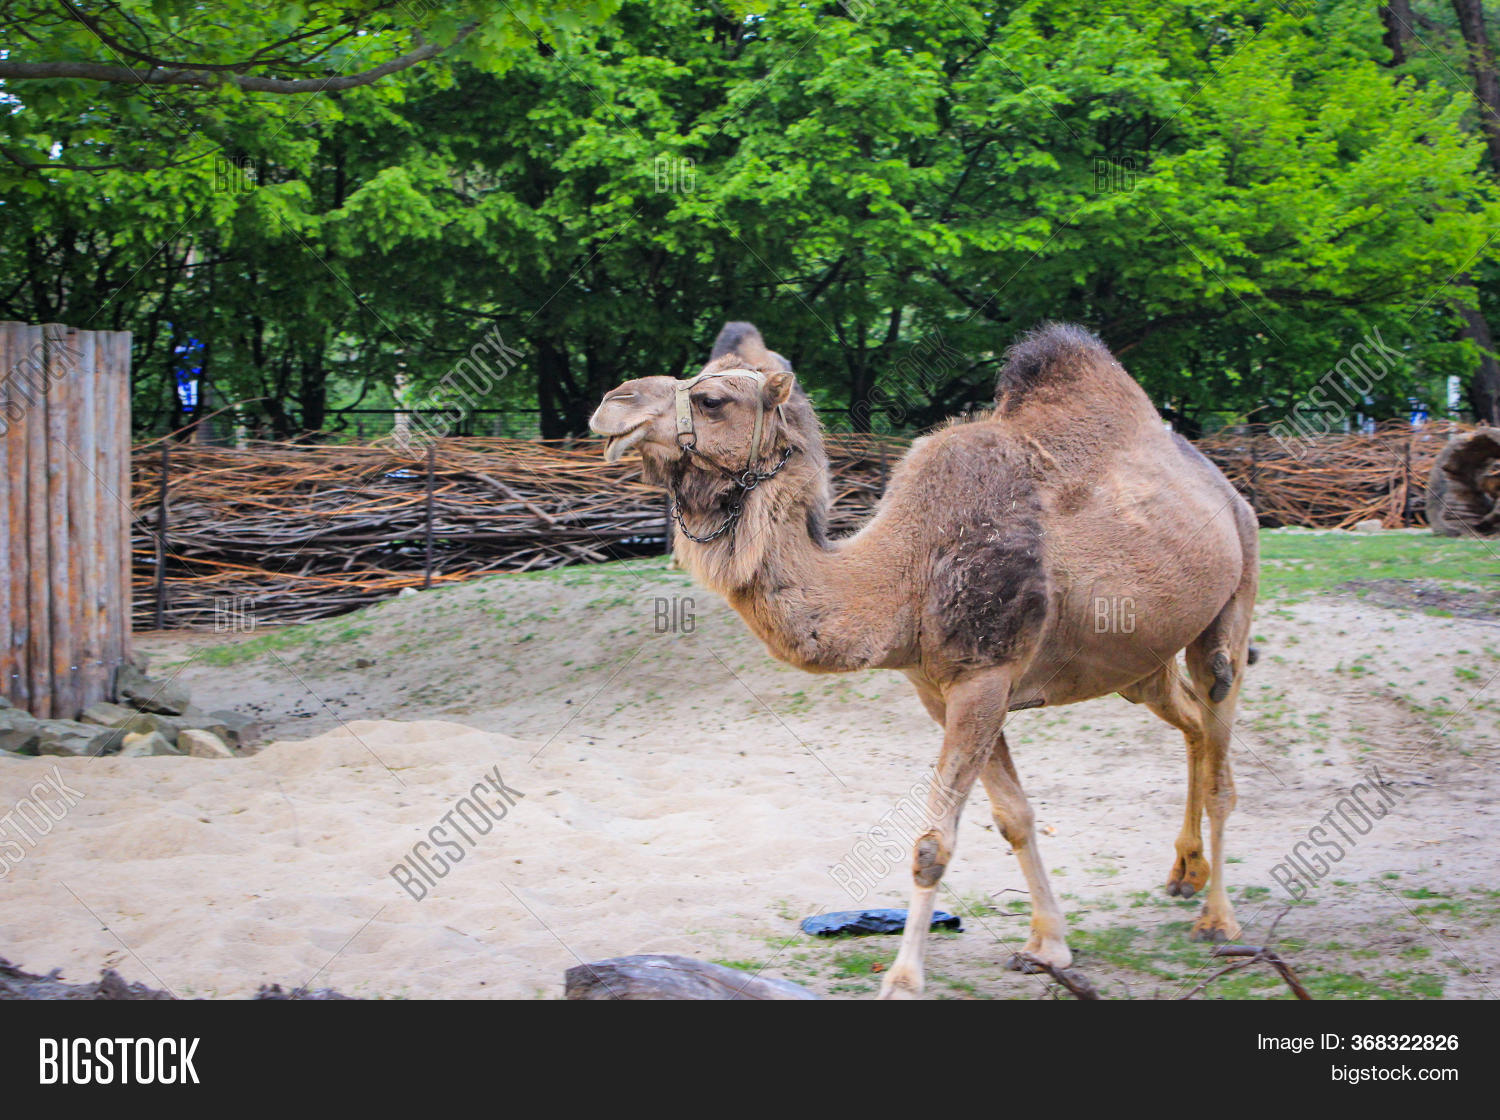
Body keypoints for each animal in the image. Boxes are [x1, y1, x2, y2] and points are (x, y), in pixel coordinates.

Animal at [589, 321, 1258, 998]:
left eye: (712, 400)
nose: (612, 403)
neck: (901, 572)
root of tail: (1226, 486)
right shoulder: (940, 690)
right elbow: (1014, 816)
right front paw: (1047, 945)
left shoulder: (984, 676)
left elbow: (934, 843)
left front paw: (903, 979)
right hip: (1138, 661)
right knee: (1193, 723)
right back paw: (1185, 872)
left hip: (1235, 592)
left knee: (1221, 743)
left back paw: (1218, 920)